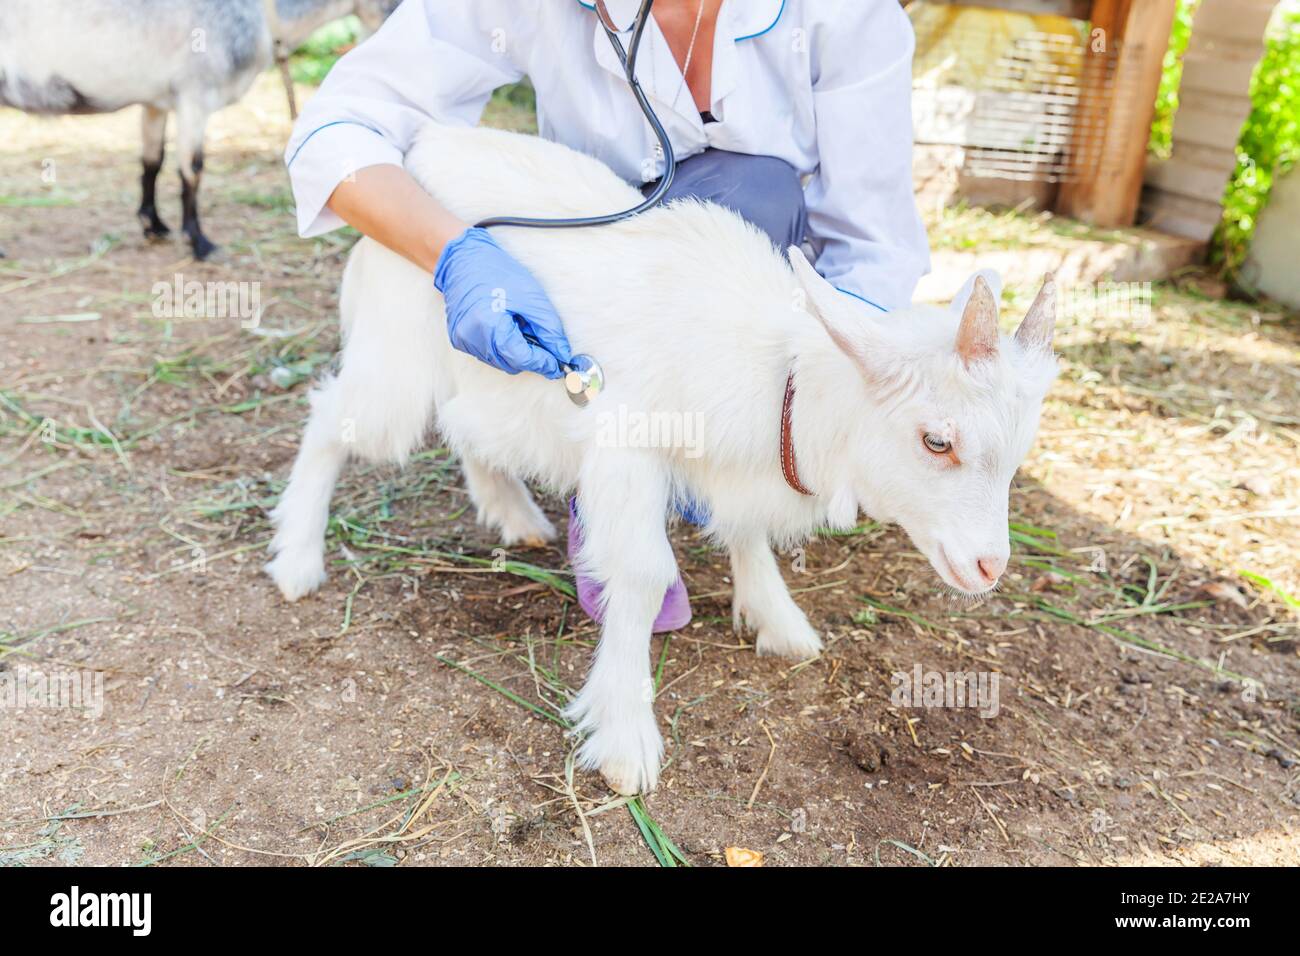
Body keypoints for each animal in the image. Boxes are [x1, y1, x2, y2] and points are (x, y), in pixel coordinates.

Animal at [0, 0, 397, 259]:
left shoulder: (158, 101)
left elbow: (152, 161)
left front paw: (154, 226)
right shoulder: (195, 94)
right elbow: (192, 169)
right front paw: (200, 242)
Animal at [266, 123, 1060, 795]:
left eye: (1019, 450)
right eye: (937, 441)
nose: (989, 566)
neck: (781, 377)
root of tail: (420, 145)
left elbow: (746, 530)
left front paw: (778, 621)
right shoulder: (626, 446)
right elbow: (644, 576)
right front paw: (625, 741)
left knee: (468, 428)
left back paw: (513, 513)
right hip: (399, 361)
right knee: (333, 418)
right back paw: (298, 557)